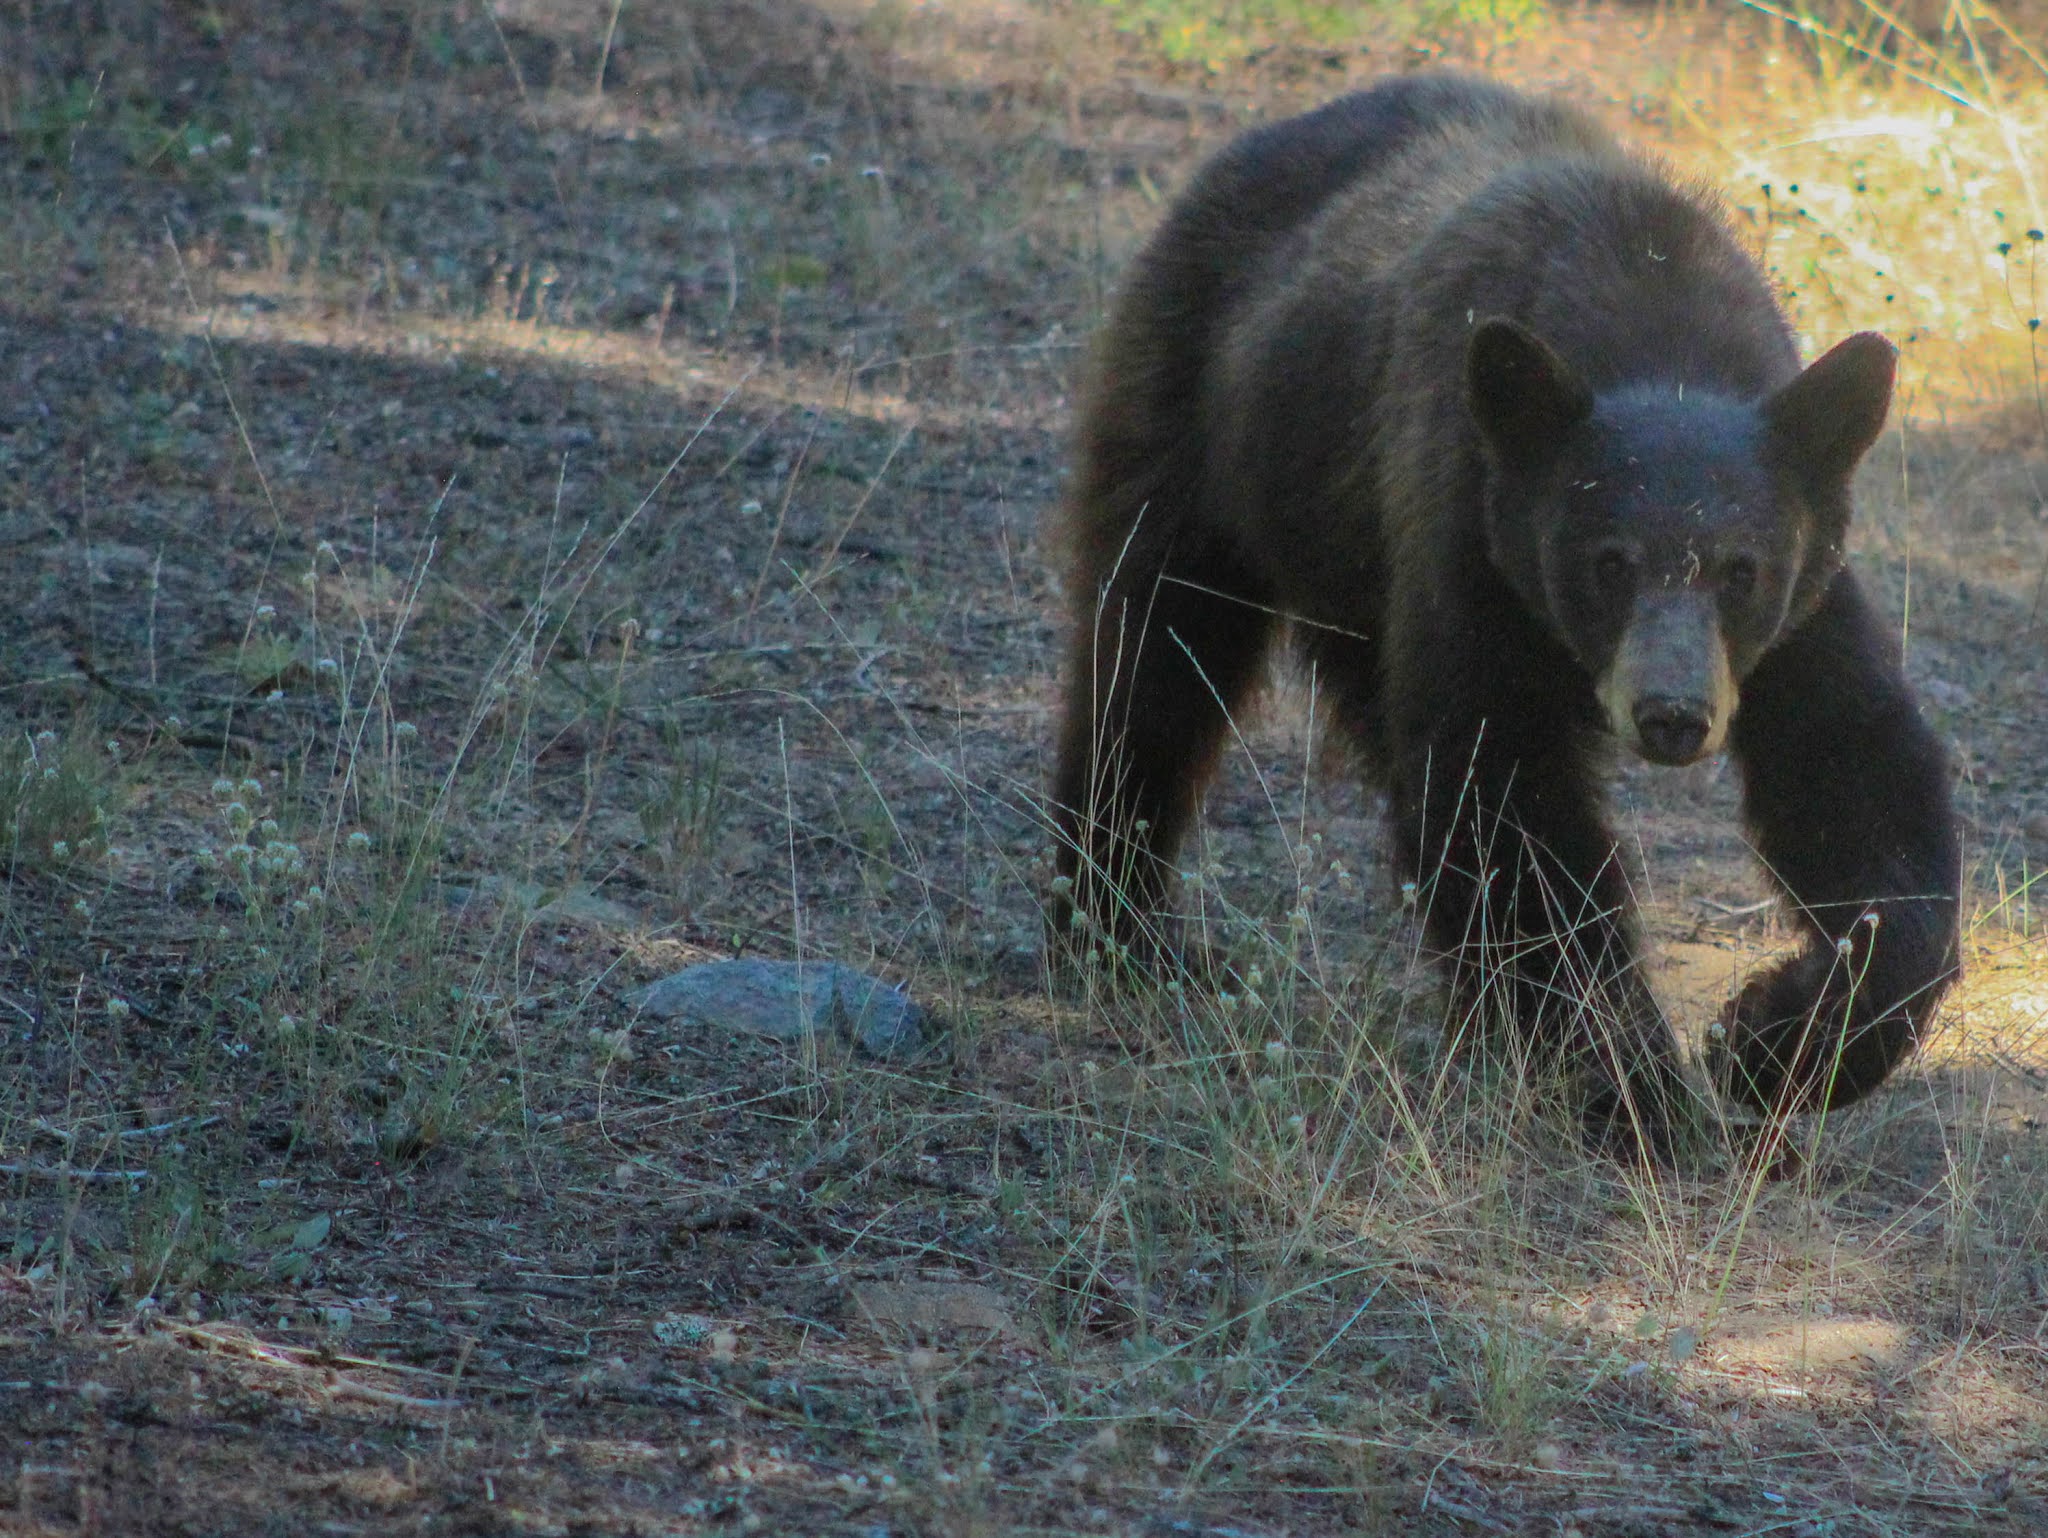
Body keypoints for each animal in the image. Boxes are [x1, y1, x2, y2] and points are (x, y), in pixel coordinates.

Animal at [1046, 73, 1961, 1156]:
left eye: (1740, 571)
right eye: (1607, 562)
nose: (1672, 715)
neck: (1653, 316)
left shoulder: (1797, 606)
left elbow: (1854, 773)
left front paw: (1777, 1038)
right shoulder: (1471, 538)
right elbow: (1502, 796)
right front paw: (1637, 1085)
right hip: (1204, 423)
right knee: (1153, 654)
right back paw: (1115, 926)